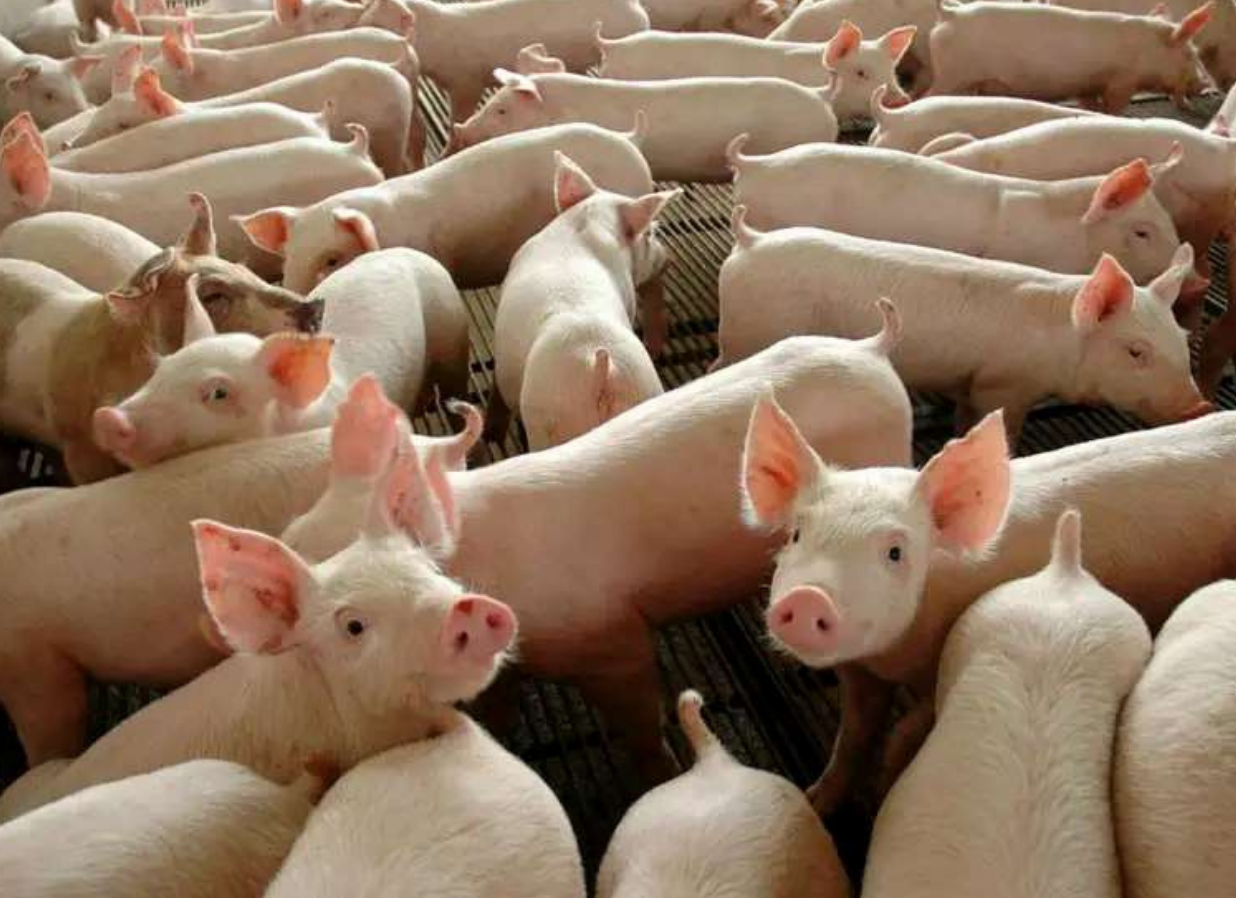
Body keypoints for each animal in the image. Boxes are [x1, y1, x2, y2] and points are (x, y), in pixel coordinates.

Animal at [0, 329, 910, 778]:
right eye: (291, 543)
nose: (203, 625)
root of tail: (871, 351)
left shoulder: (607, 633)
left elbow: (636, 719)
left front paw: (652, 773)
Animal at [490, 153, 673, 449]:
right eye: (649, 234)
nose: (668, 258)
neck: (585, 230)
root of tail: (599, 368)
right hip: (642, 387)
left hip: (551, 420)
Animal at [719, 211, 1207, 443]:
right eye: (1136, 351)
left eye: (1182, 342)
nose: (1199, 407)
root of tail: (750, 241)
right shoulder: (1004, 384)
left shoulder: (972, 383)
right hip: (749, 332)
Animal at [739, 399, 1236, 815]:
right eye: (797, 534)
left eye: (896, 552)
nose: (807, 597)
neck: (892, 657)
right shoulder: (860, 672)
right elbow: (854, 735)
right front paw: (815, 801)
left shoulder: (939, 664)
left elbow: (903, 731)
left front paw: (882, 793)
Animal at [927, 1, 1214, 112]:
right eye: (1190, 53)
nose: (1205, 85)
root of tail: (950, 13)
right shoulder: (1122, 81)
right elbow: (1115, 107)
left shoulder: (1086, 86)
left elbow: (1090, 104)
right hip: (952, 75)